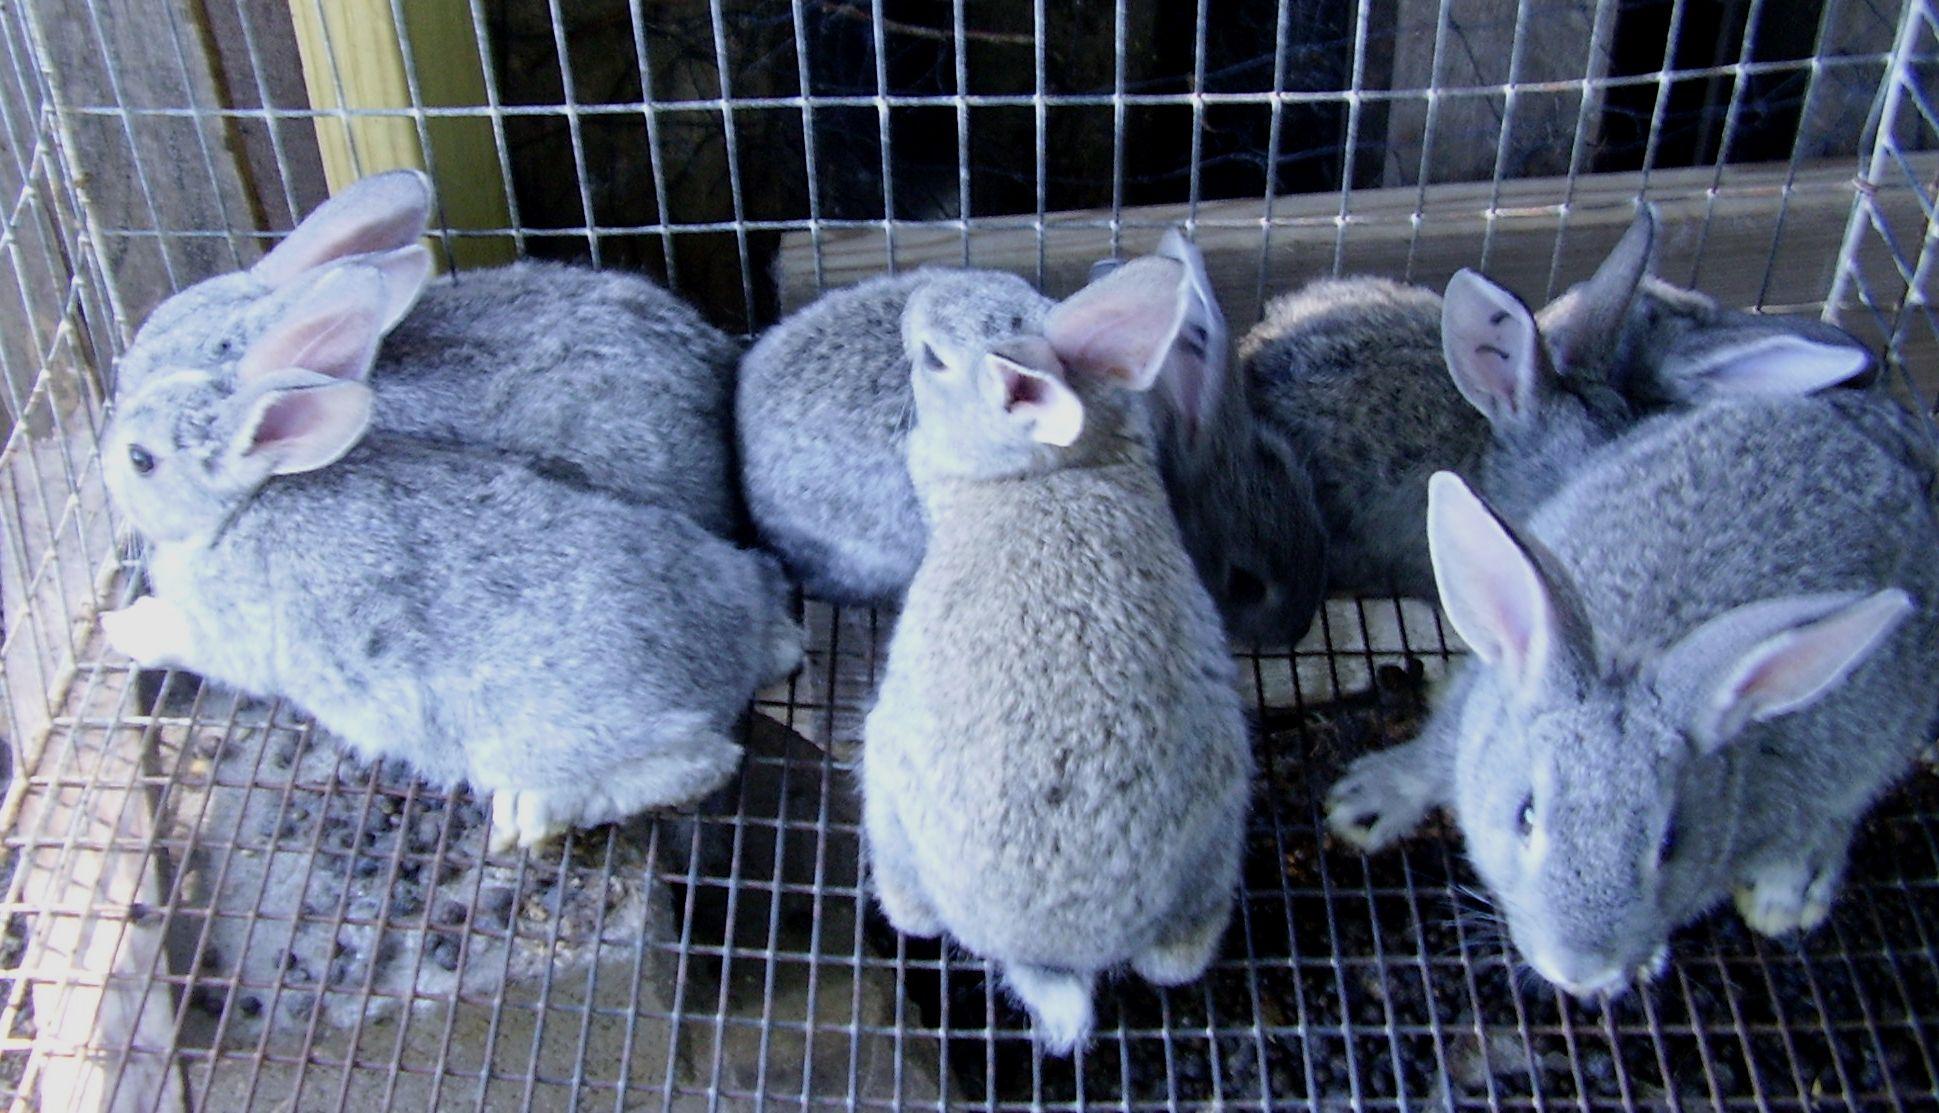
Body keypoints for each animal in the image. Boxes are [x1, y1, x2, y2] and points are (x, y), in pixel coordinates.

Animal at [98, 317, 804, 852]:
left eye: (141, 459)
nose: (106, 455)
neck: (237, 508)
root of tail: (732, 655)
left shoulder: (227, 635)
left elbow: (186, 640)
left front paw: (125, 627)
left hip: (546, 738)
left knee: (697, 765)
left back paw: (534, 811)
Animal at [861, 264, 1254, 1054]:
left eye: (933, 358)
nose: (915, 303)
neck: (1054, 464)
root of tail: (1051, 955)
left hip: (880, 769)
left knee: (913, 908)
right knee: (1177, 959)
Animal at [1324, 390, 1939, 999]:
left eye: (1669, 844)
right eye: (1526, 815)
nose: (1579, 970)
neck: (1635, 650)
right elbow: (1431, 758)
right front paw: (1365, 803)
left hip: (1881, 731)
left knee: (1842, 807)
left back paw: (1788, 892)